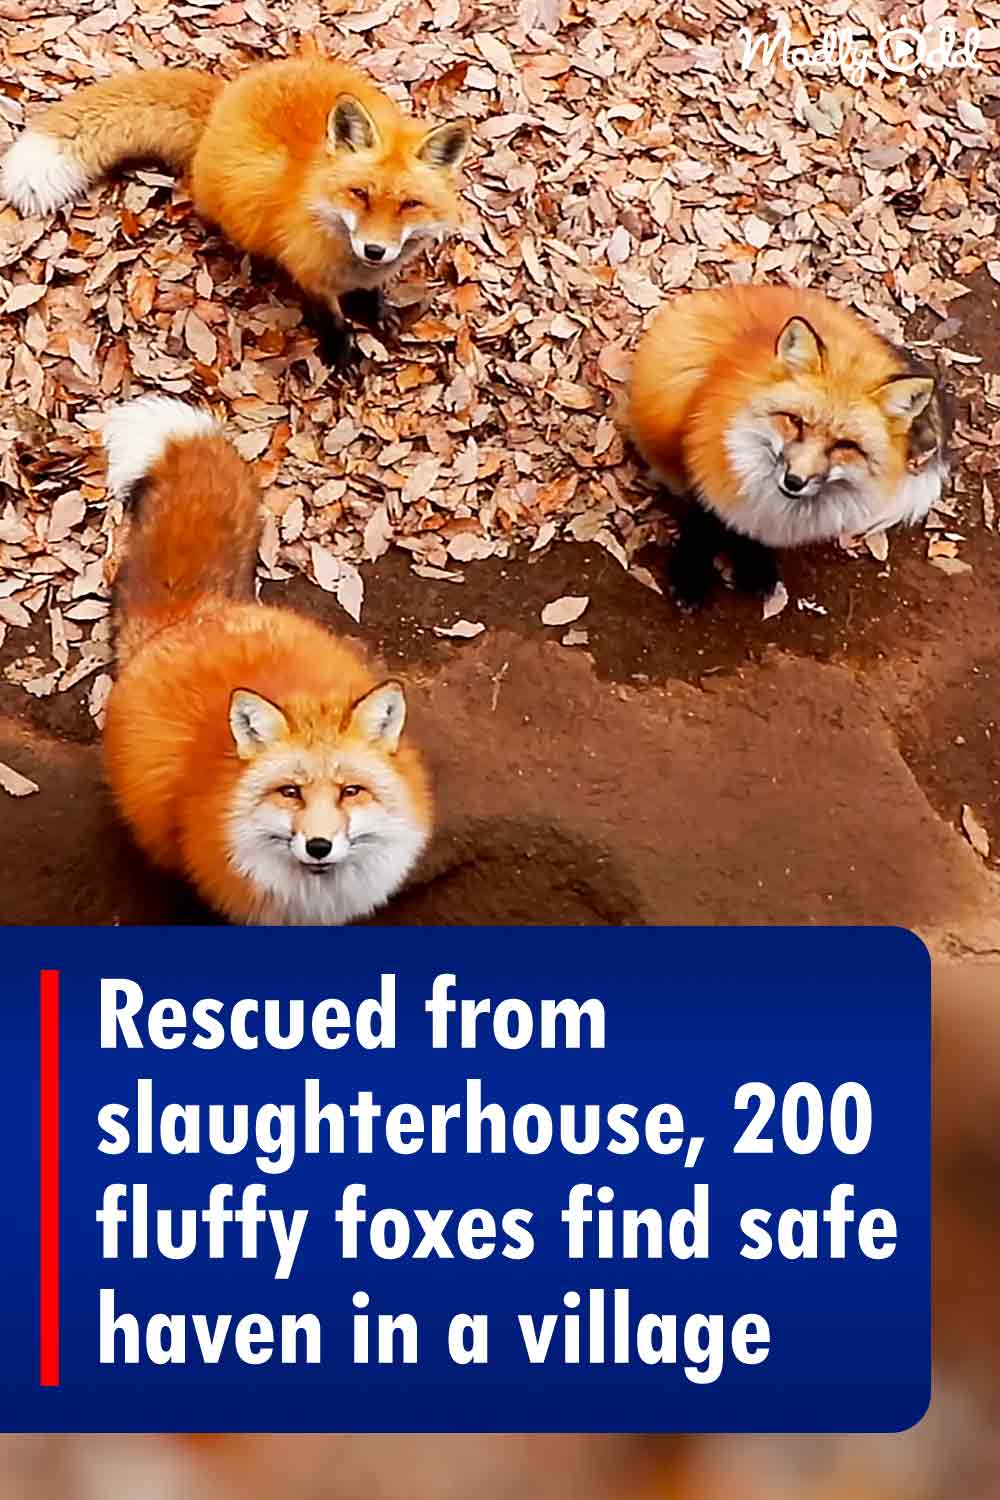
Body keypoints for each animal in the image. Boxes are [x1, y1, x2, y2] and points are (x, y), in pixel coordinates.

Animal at [1, 58, 471, 367]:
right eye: (359, 194)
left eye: (409, 205)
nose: (375, 250)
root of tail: (225, 96)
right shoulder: (310, 276)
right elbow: (331, 319)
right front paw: (341, 351)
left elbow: (372, 295)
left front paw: (376, 310)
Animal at [627, 284, 950, 610]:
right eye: (795, 421)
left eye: (845, 445)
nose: (794, 481)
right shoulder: (703, 464)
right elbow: (701, 527)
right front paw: (690, 577)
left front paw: (753, 564)